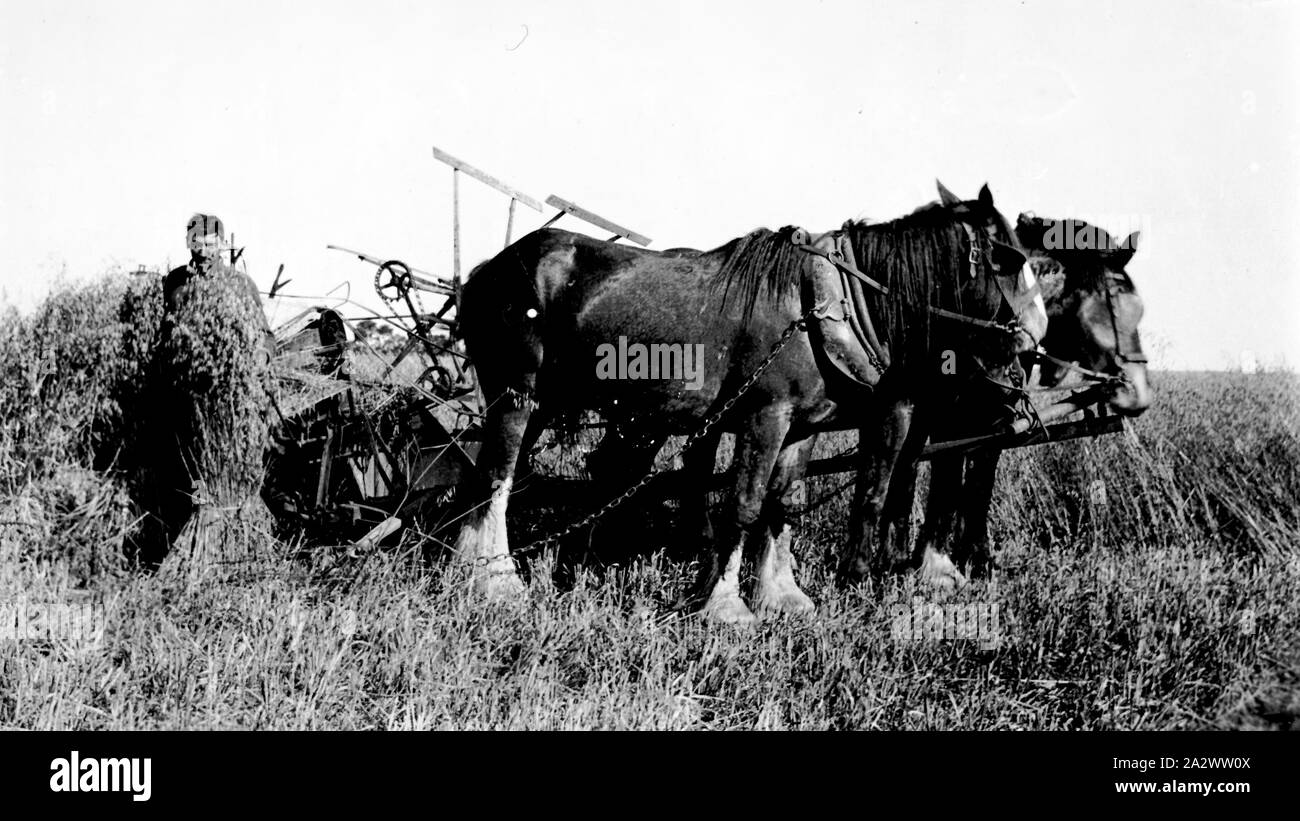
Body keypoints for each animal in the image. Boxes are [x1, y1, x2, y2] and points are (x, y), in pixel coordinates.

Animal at [839, 182, 1049, 589]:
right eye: (1013, 259)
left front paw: (906, 562)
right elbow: (881, 483)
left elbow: (925, 480)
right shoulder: (905, 410)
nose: (1036, 330)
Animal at [914, 214, 1151, 576]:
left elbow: (980, 479)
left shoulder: (994, 419)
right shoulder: (949, 419)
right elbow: (947, 478)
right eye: (1107, 307)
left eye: (1138, 310)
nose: (1137, 394)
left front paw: (977, 557)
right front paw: (936, 564)